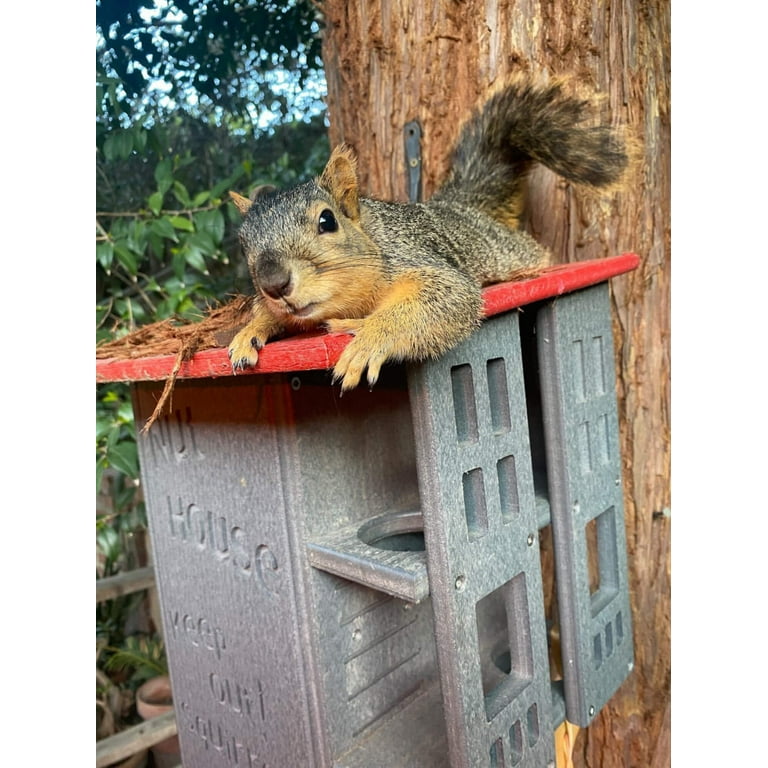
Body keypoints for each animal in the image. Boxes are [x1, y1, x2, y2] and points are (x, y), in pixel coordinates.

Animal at [228, 75, 628, 390]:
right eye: (244, 244)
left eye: (327, 221)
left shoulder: (417, 257)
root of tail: (459, 206)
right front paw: (250, 331)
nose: (275, 283)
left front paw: (371, 336)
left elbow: (447, 297)